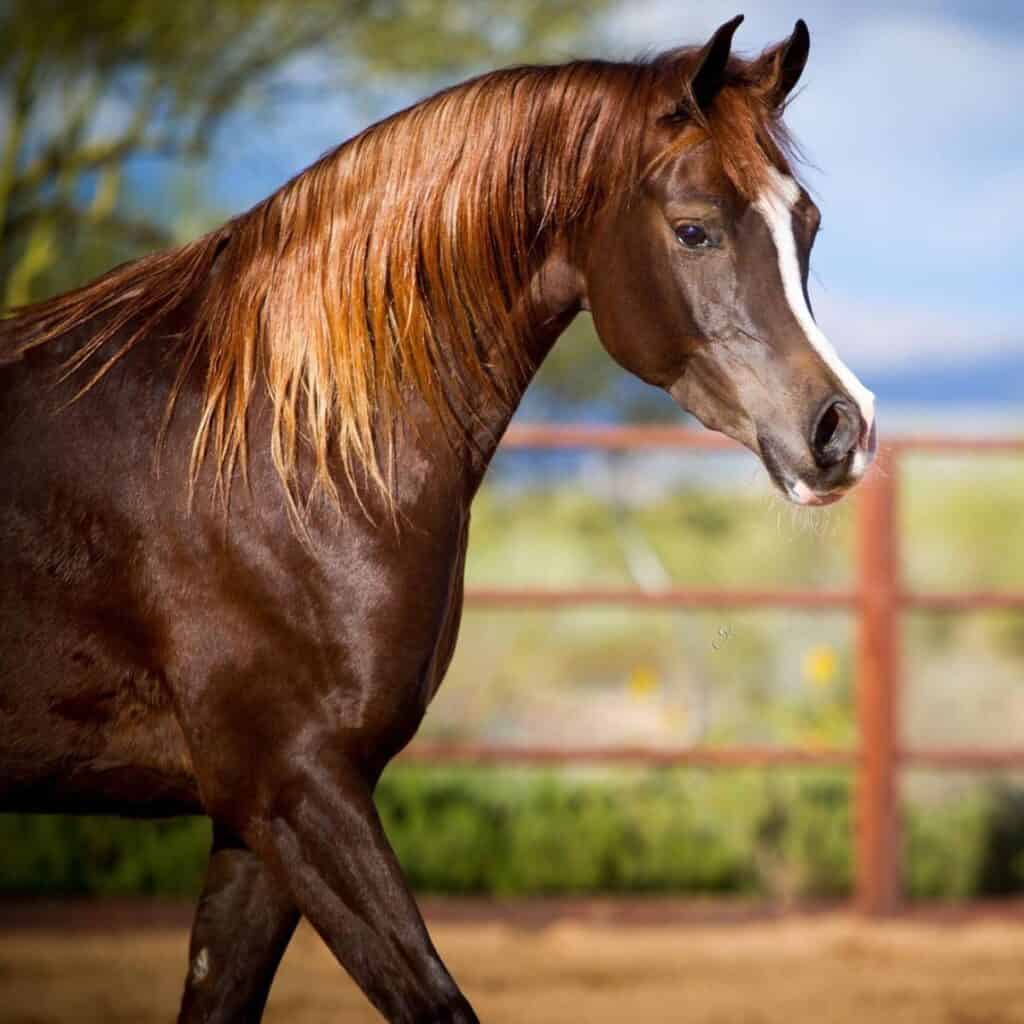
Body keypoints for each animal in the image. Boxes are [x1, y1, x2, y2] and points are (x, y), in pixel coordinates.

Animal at [0, 15, 876, 1023]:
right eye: (694, 228)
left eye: (806, 224)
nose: (842, 429)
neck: (278, 447)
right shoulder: (295, 785)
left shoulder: (257, 816)